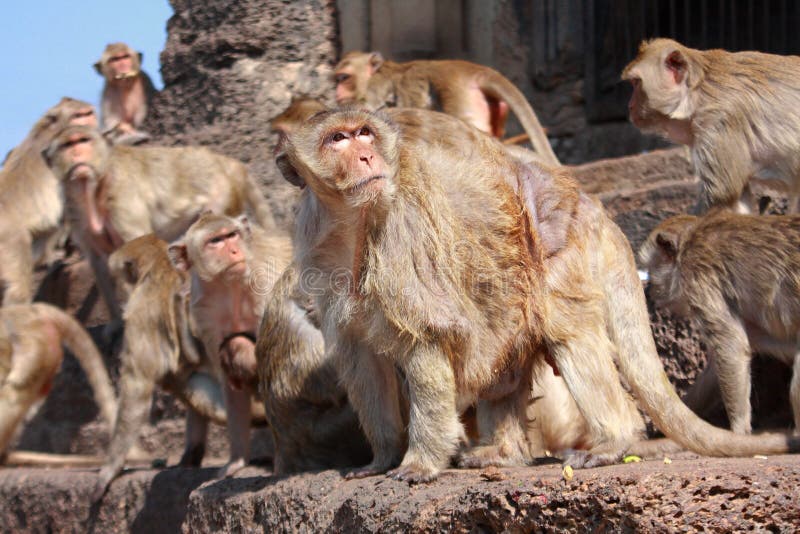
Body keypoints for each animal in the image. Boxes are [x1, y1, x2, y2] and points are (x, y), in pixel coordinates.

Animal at [42, 125, 277, 324]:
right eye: (67, 145)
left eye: (83, 140)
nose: (76, 154)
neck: (90, 190)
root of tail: (230, 164)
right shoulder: (76, 213)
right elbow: (99, 264)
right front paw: (116, 323)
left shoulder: (122, 198)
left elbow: (136, 249)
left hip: (223, 197)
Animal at [168, 213, 292, 478]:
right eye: (215, 241)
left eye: (231, 235)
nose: (235, 251)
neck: (231, 287)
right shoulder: (205, 316)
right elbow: (230, 386)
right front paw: (237, 460)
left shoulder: (267, 288)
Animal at [639, 210, 800, 436]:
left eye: (650, 270)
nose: (650, 290)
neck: (689, 240)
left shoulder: (698, 276)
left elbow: (732, 347)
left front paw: (739, 430)